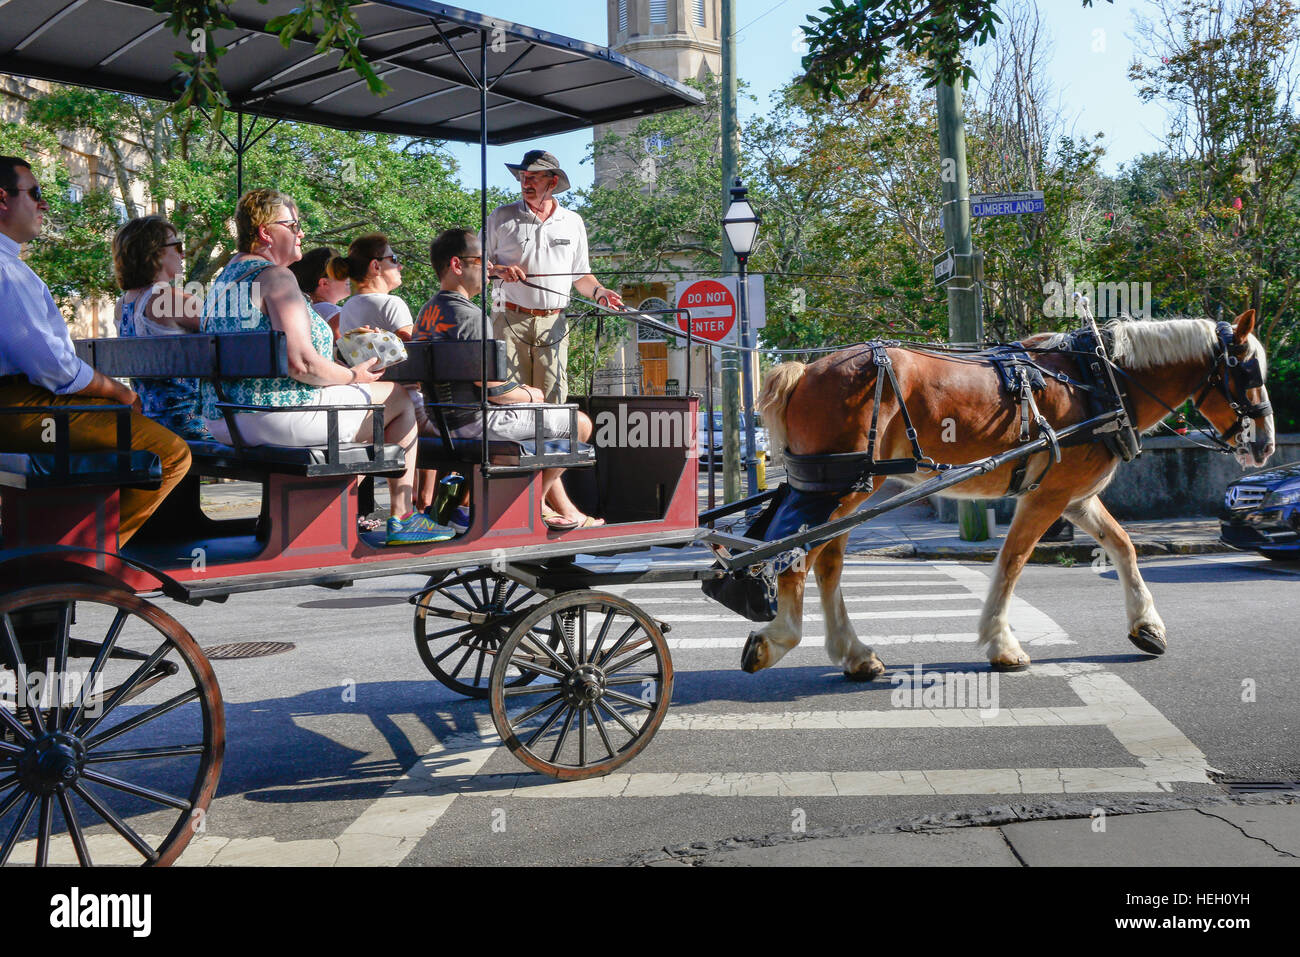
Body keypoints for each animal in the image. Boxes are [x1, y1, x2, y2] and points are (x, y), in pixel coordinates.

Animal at [748, 310, 1276, 679]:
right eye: (1249, 372)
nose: (1266, 444)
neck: (1098, 381)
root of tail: (805, 372)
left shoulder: (1074, 497)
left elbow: (1123, 545)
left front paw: (1147, 626)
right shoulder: (1046, 498)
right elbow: (1012, 561)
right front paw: (1003, 645)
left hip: (844, 491)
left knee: (827, 561)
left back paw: (855, 655)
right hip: (847, 487)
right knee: (798, 555)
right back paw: (780, 637)